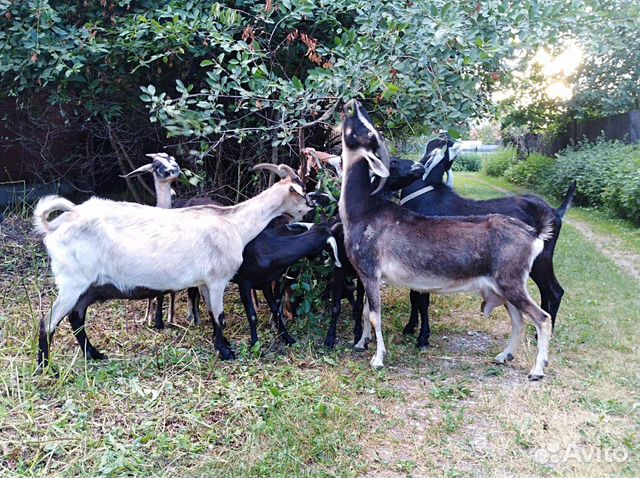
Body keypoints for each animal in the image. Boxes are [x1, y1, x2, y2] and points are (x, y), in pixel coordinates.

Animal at [339, 100, 554, 380]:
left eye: (367, 131)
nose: (354, 104)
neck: (363, 209)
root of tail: (533, 233)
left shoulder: (370, 271)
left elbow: (375, 315)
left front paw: (377, 359)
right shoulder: (367, 275)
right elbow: (367, 312)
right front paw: (360, 343)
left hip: (511, 282)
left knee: (542, 318)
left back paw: (537, 370)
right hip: (503, 287)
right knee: (519, 319)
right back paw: (503, 356)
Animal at [397, 134, 575, 348]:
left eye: (442, 145)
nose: (444, 135)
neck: (427, 194)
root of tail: (555, 212)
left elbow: (422, 300)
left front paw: (423, 338)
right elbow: (413, 296)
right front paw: (410, 327)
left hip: (541, 259)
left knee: (555, 291)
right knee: (547, 291)